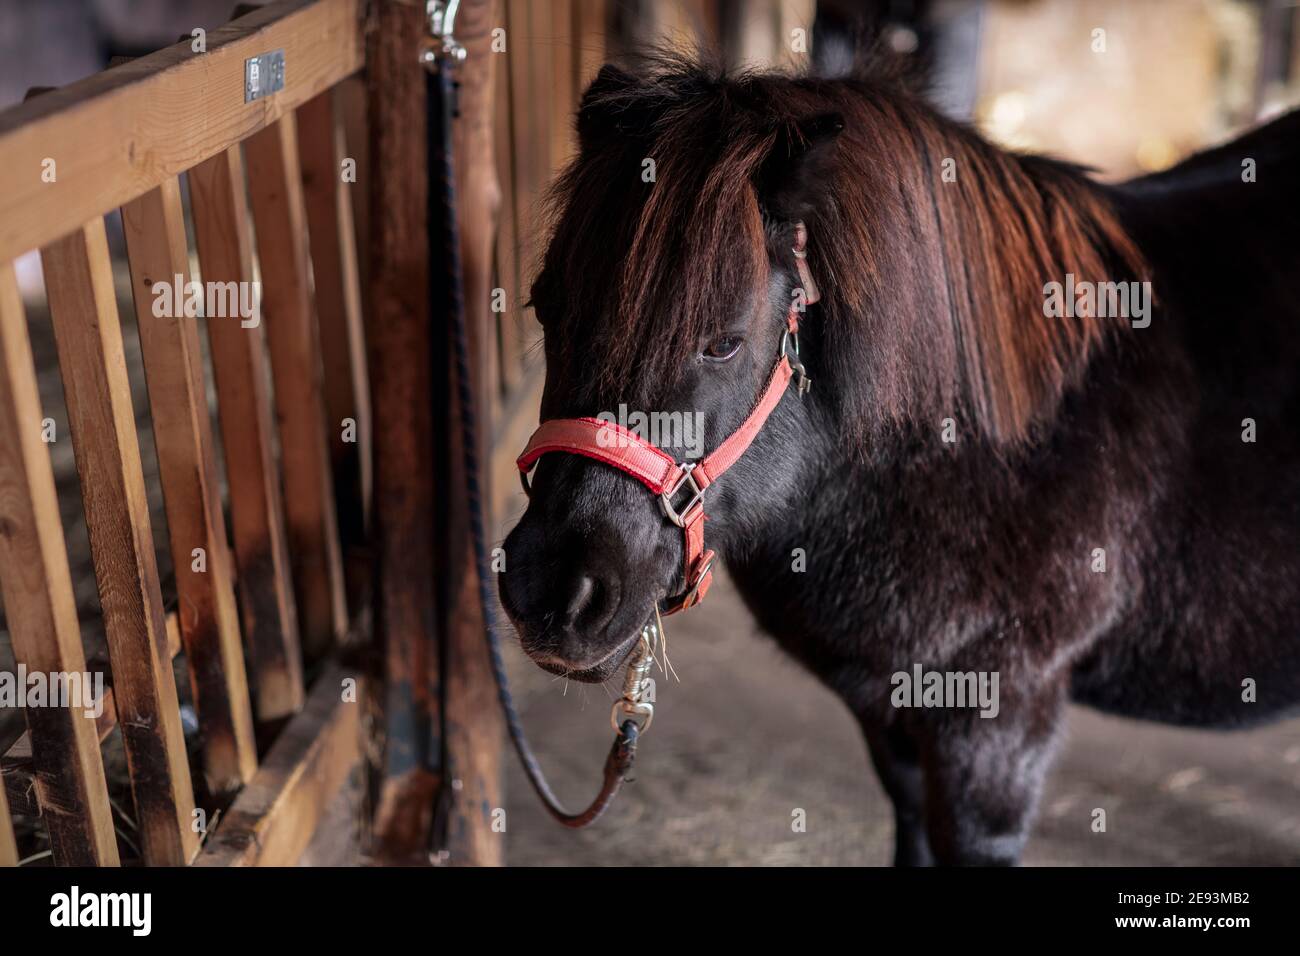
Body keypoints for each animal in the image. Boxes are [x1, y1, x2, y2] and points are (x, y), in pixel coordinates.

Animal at [497, 52, 1300, 865]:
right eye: (544, 307)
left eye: (722, 341)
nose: (554, 590)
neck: (976, 442)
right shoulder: (893, 718)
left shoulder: (999, 731)